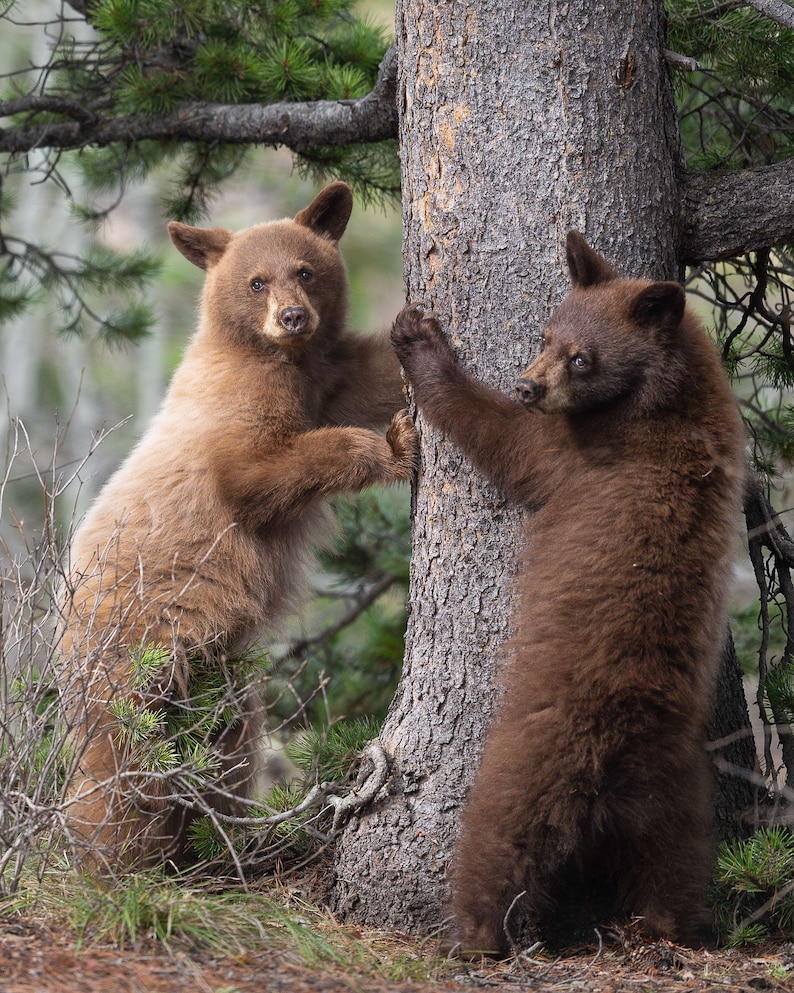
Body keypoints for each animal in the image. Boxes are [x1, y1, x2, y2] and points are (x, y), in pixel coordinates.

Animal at [59, 181, 417, 872]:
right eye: (255, 282)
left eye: (305, 271)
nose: (293, 317)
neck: (280, 358)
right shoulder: (239, 411)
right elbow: (258, 472)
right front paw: (394, 445)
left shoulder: (329, 378)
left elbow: (375, 372)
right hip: (127, 654)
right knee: (116, 764)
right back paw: (115, 861)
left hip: (218, 682)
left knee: (227, 749)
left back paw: (211, 845)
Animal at [390, 232, 746, 955]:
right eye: (547, 332)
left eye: (583, 358)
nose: (527, 385)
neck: (666, 399)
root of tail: (612, 764)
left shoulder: (579, 453)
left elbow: (506, 440)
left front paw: (419, 340)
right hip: (678, 792)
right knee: (676, 860)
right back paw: (674, 926)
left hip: (527, 757)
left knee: (500, 834)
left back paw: (476, 930)